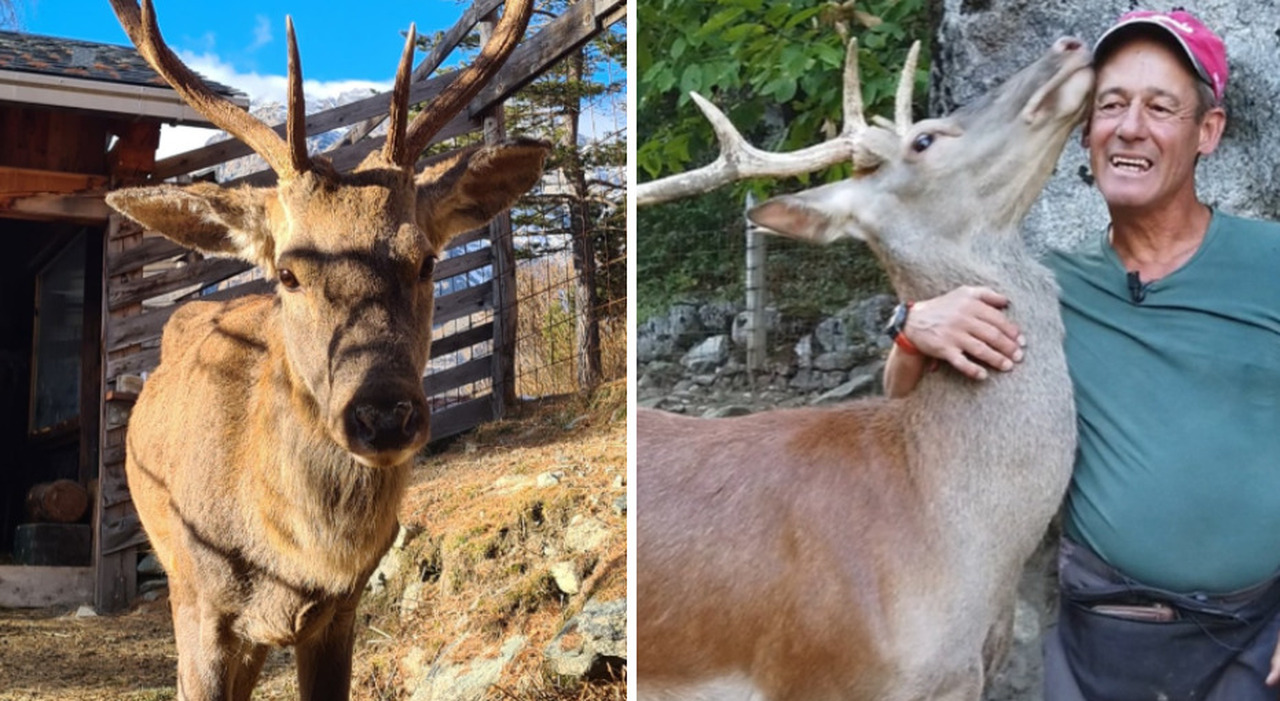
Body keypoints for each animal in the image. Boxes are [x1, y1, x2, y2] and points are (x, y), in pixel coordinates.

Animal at [102, 1, 547, 699]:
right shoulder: (197, 598)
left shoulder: (341, 610)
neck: (293, 556)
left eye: (425, 259)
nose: (384, 413)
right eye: (288, 272)